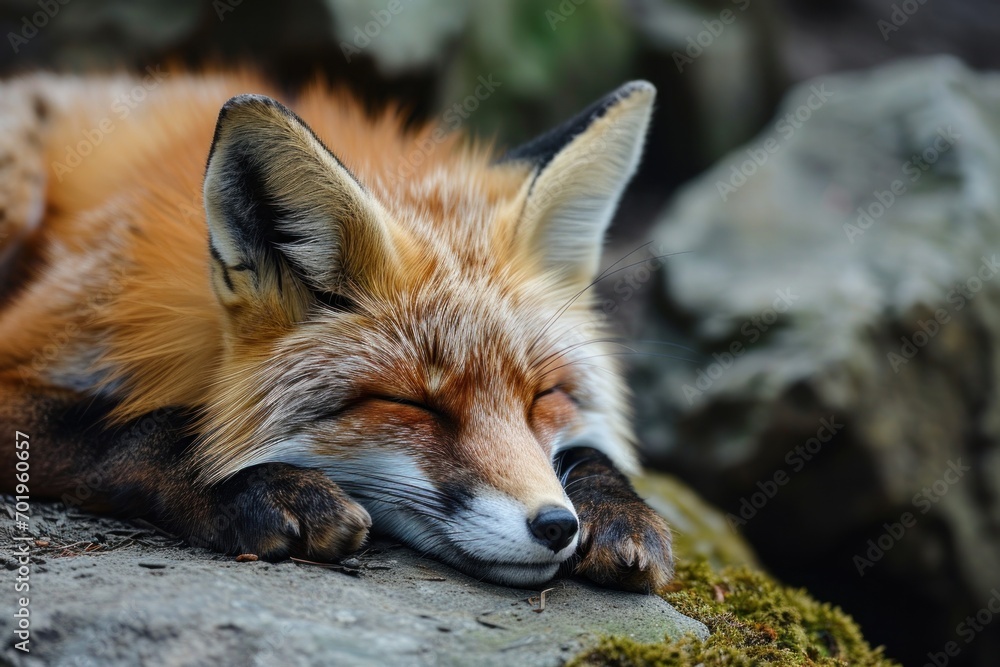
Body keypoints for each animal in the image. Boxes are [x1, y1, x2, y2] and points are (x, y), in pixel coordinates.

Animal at [0, 71, 673, 592]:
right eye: (411, 404)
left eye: (545, 397)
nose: (556, 526)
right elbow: (129, 430)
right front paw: (258, 490)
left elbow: (590, 452)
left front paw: (616, 509)